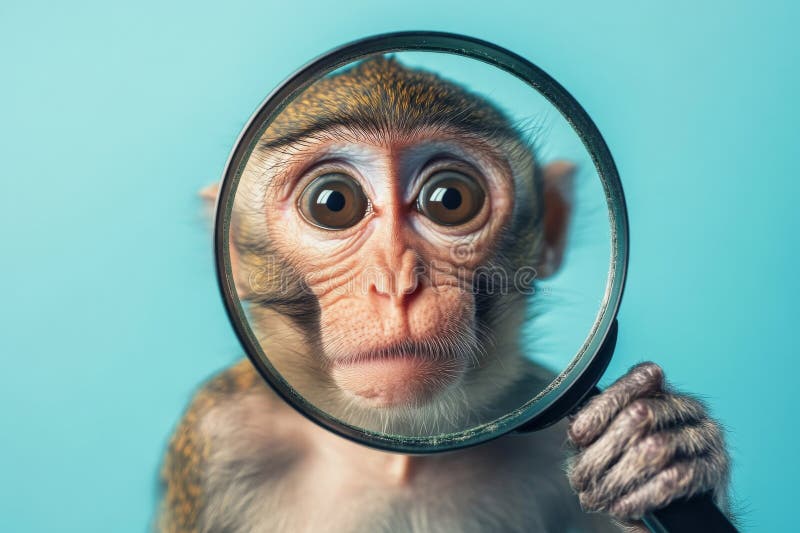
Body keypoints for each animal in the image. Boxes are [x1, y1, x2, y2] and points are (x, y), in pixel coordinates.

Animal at [159, 56, 731, 533]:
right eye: (333, 202)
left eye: (449, 199)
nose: (397, 283)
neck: (401, 458)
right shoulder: (217, 439)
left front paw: (656, 446)